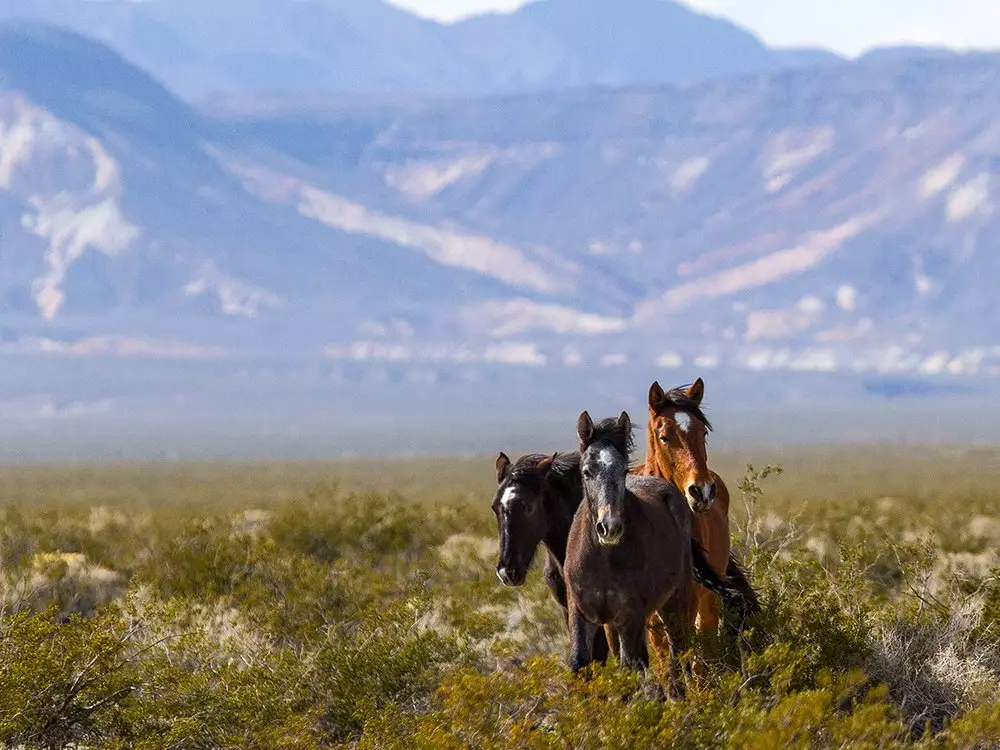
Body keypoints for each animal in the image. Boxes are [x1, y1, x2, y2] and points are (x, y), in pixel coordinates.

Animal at [564, 412, 752, 688]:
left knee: (679, 654)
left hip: (678, 604)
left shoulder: (631, 616)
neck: (604, 559)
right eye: (587, 471)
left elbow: (632, 667)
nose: (610, 527)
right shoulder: (582, 614)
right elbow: (581, 665)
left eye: (623, 471)